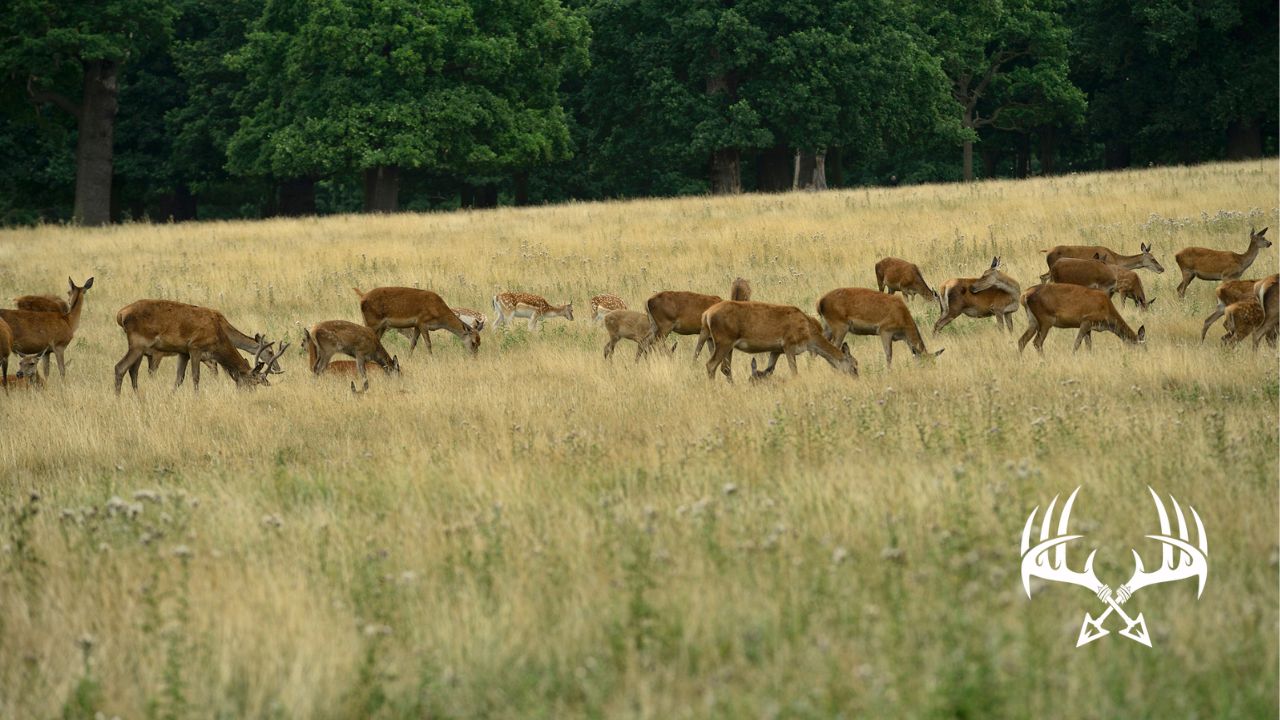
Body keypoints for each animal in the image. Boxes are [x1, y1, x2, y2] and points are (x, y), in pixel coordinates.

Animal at [114, 300, 287, 394]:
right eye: (252, 382)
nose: (278, 368)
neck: (219, 334)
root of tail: (121, 314)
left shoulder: (183, 352)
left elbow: (179, 378)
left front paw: (171, 396)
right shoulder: (195, 347)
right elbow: (196, 377)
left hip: (140, 348)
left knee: (132, 370)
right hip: (139, 344)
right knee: (120, 367)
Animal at [700, 301, 857, 382]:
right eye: (855, 365)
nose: (856, 378)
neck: (809, 336)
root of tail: (706, 315)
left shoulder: (776, 350)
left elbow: (768, 370)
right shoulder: (789, 344)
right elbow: (794, 371)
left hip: (723, 343)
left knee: (725, 368)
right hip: (724, 340)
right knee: (711, 364)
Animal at [1017, 283, 1145, 353]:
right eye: (1143, 346)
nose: (1145, 354)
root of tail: (1024, 295)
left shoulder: (1089, 327)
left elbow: (1088, 346)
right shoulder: (1086, 320)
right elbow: (1077, 343)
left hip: (1032, 320)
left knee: (1022, 340)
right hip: (1045, 319)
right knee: (1037, 342)